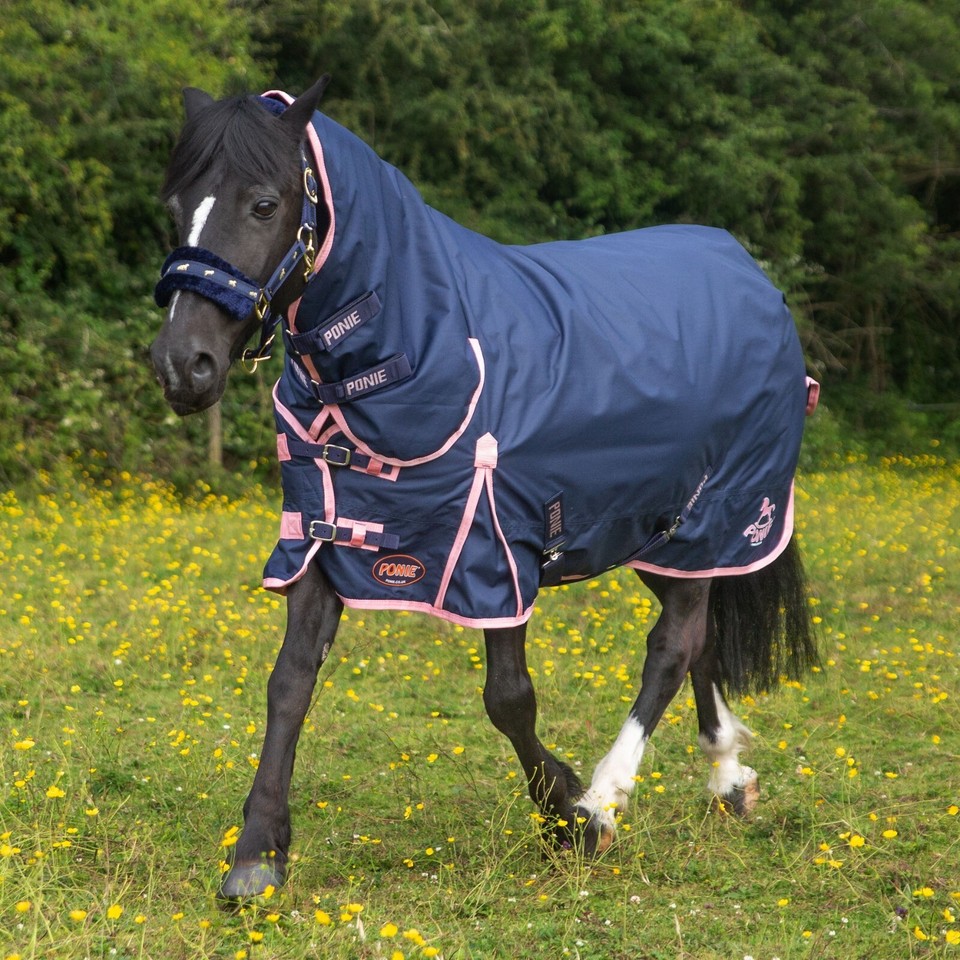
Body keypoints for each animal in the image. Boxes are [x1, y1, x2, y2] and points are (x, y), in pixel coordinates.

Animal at [149, 78, 819, 899]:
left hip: (713, 517)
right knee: (700, 638)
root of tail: (752, 275)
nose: (183, 366)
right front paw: (256, 853)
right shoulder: (319, 536)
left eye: (264, 204)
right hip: (654, 530)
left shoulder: (495, 547)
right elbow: (289, 683)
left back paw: (608, 799)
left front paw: (568, 810)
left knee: (675, 643)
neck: (419, 348)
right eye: (176, 205)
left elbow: (508, 699)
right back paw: (727, 777)